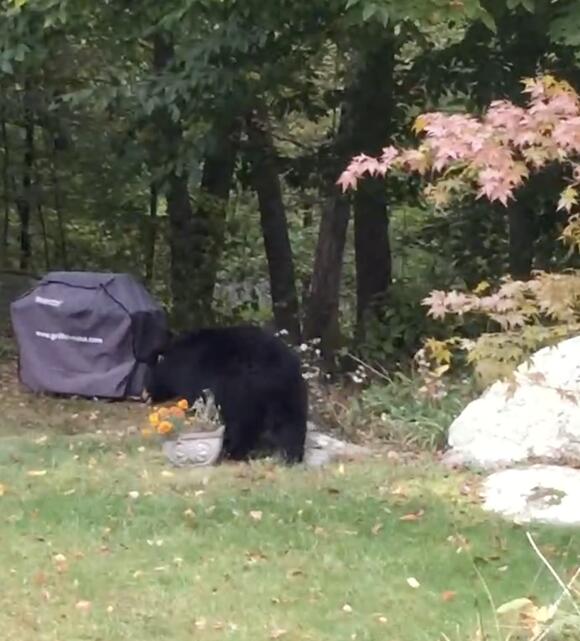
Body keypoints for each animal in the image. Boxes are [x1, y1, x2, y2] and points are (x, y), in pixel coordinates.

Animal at [144, 325, 308, 464]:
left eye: (148, 376)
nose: (145, 395)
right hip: (290, 390)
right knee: (291, 421)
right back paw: (291, 457)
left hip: (241, 389)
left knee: (242, 422)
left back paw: (233, 453)